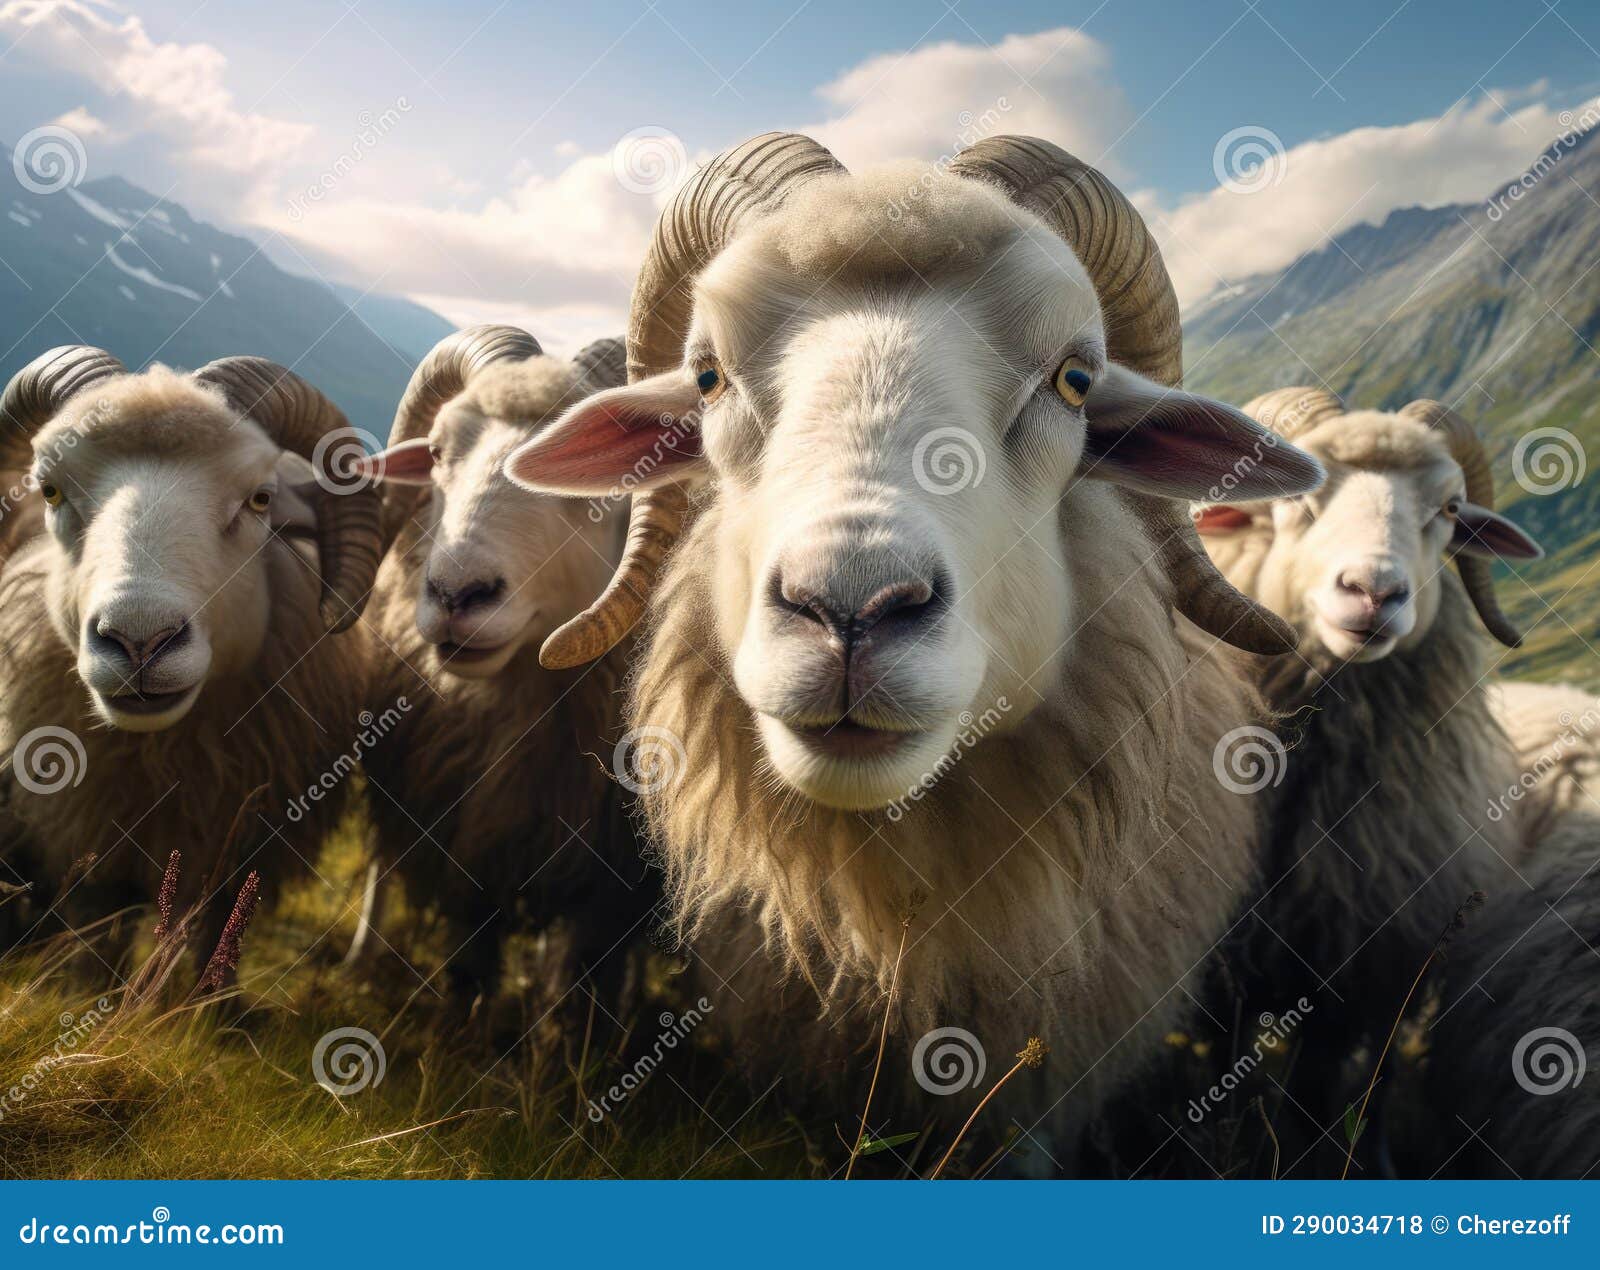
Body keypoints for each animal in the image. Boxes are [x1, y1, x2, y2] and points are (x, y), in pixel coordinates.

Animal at [0, 346, 382, 952]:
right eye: (50, 490)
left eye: (261, 498)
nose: (139, 639)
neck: (162, 759)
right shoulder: (94, 865)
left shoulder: (234, 867)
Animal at [352, 327, 654, 1008]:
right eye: (437, 451)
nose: (456, 593)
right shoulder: (462, 833)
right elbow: (470, 955)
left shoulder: (610, 882)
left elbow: (588, 982)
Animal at [1192, 387, 1545, 1170]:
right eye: (1296, 498)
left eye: (1449, 509)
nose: (1373, 591)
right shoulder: (1219, 981)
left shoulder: (1375, 970)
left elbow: (1331, 1095)